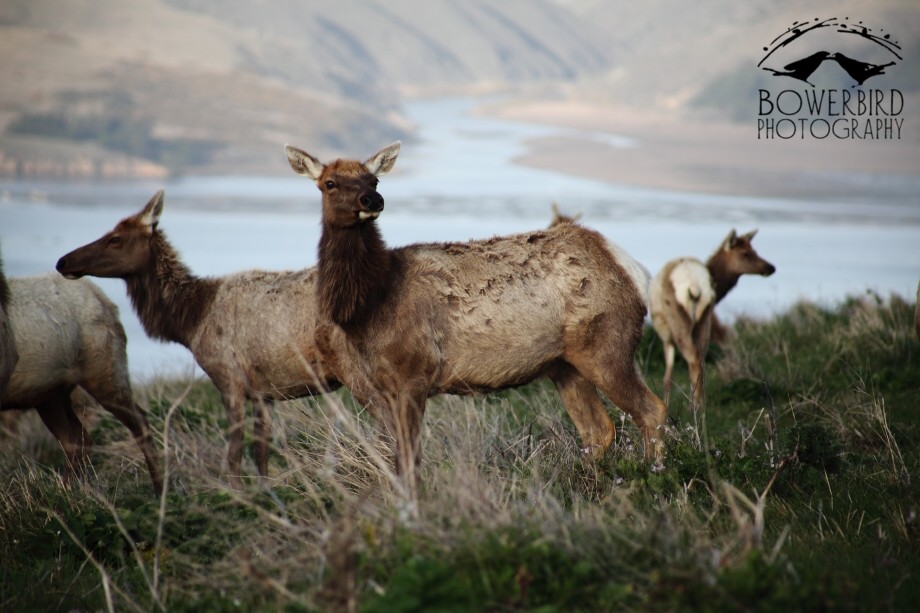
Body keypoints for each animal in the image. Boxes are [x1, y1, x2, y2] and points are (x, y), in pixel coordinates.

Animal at [1, 271, 163, 494]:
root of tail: (105, 300)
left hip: (104, 377)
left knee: (140, 421)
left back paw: (160, 488)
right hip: (50, 396)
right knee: (77, 438)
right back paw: (64, 490)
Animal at [56, 191, 340, 487]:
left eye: (115, 238)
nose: (63, 261)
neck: (190, 322)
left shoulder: (228, 376)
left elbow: (234, 454)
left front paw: (237, 492)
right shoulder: (264, 391)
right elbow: (261, 453)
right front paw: (264, 490)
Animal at [284, 141, 668, 498]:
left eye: (374, 178)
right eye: (329, 182)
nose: (372, 199)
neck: (369, 304)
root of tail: (635, 269)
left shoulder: (414, 371)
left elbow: (409, 457)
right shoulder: (381, 386)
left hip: (607, 344)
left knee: (652, 410)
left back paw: (655, 478)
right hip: (564, 365)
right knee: (597, 429)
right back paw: (585, 485)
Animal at [649, 229, 776, 409]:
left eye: (754, 251)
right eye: (746, 253)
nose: (771, 267)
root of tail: (695, 286)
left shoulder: (667, 336)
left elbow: (667, 377)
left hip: (680, 322)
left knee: (694, 358)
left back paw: (695, 405)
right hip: (704, 320)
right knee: (701, 359)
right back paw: (701, 405)